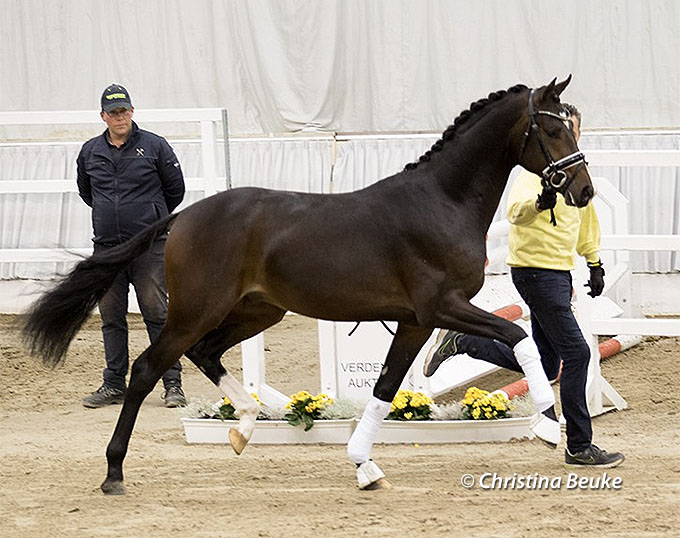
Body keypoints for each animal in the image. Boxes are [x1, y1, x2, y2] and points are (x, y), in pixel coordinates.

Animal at [23, 76, 593, 494]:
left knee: (206, 353)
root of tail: (182, 216)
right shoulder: (441, 307)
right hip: (195, 311)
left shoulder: (414, 321)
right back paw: (114, 472)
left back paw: (245, 425)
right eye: (554, 132)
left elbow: (386, 389)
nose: (584, 191)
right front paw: (551, 427)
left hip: (257, 311)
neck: (442, 202)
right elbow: (518, 338)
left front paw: (364, 466)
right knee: (146, 369)